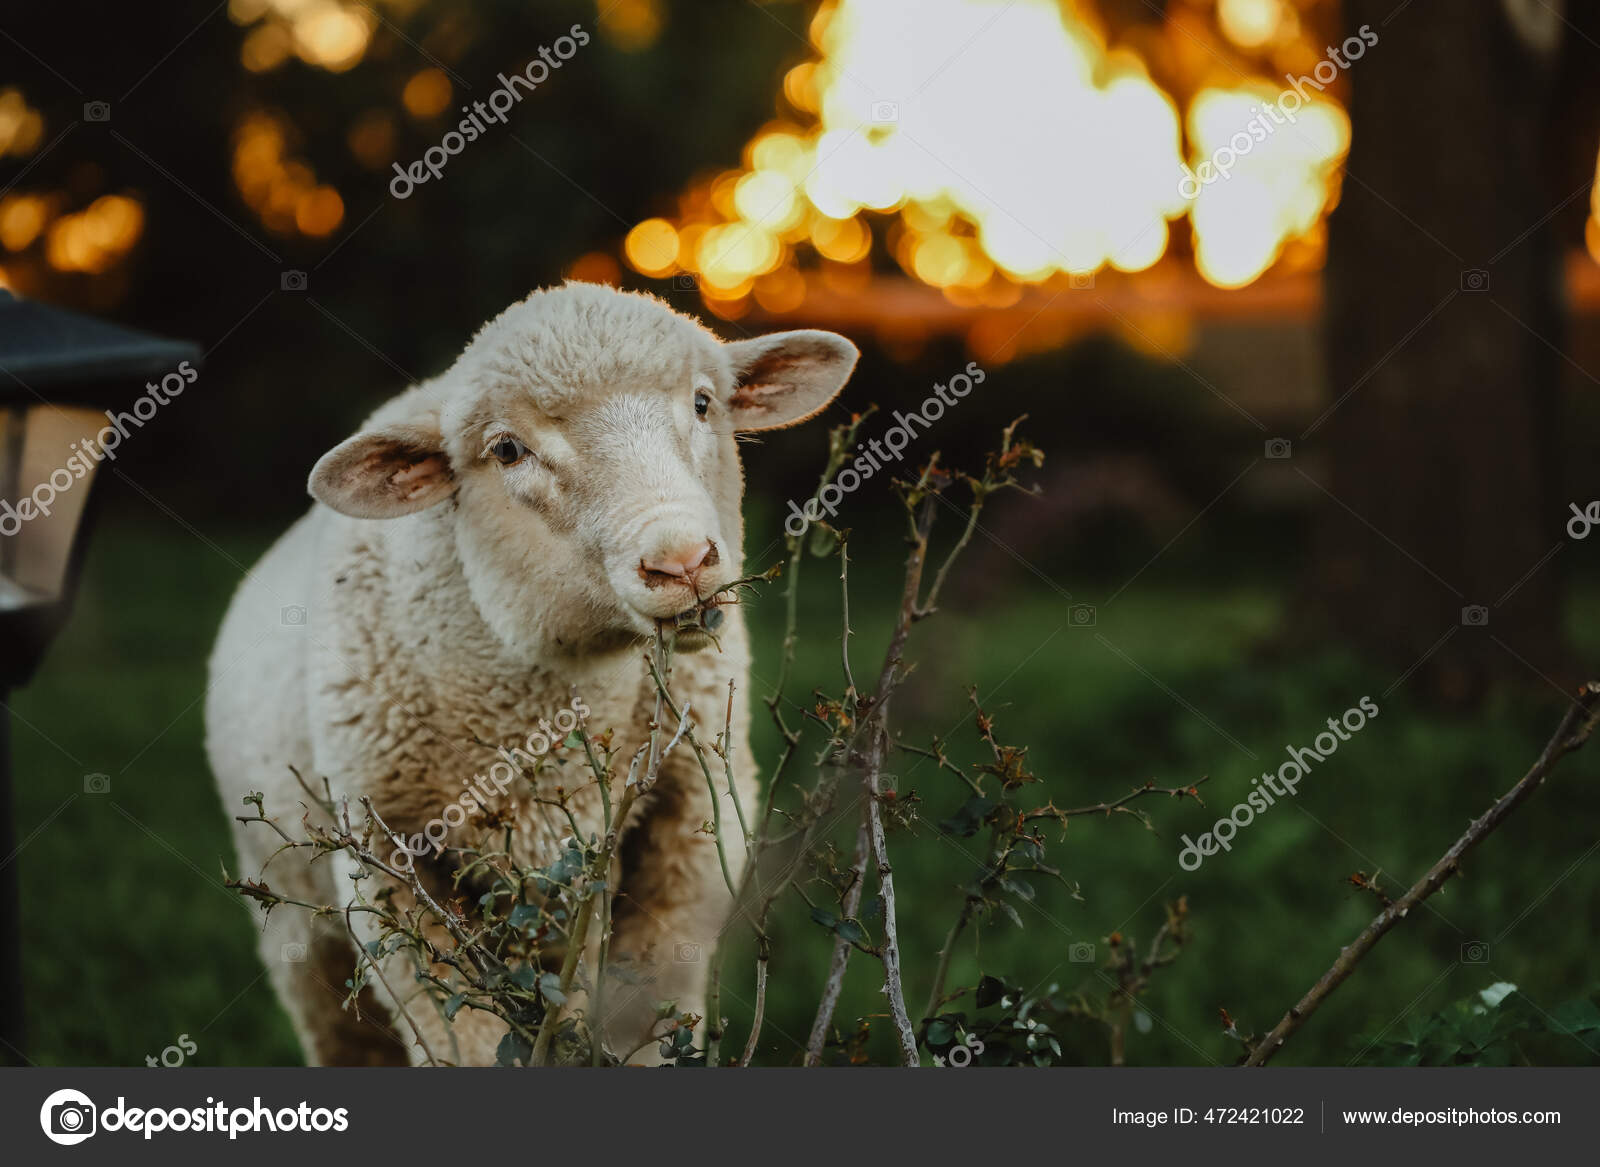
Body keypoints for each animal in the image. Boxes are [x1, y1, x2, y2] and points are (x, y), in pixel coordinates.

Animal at [205, 282, 858, 1065]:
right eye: (507, 450)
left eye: (705, 402)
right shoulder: (390, 877)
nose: (681, 561)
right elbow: (464, 1040)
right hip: (298, 931)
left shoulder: (693, 837)